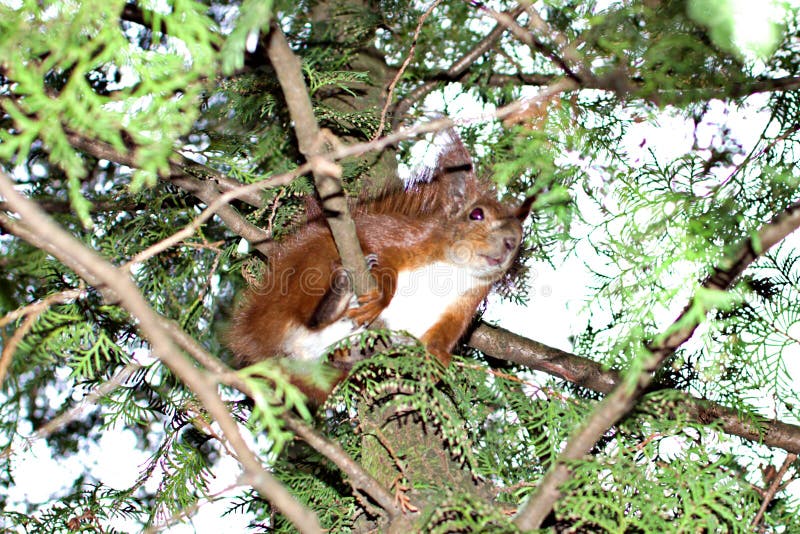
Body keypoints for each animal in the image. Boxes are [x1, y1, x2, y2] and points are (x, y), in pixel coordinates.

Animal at [227, 131, 533, 403]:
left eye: (520, 237)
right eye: (476, 215)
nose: (509, 242)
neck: (455, 270)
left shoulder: (465, 305)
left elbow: (445, 336)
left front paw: (438, 358)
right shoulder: (400, 234)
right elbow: (373, 243)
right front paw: (384, 293)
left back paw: (353, 353)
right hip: (309, 265)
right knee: (310, 312)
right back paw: (337, 299)